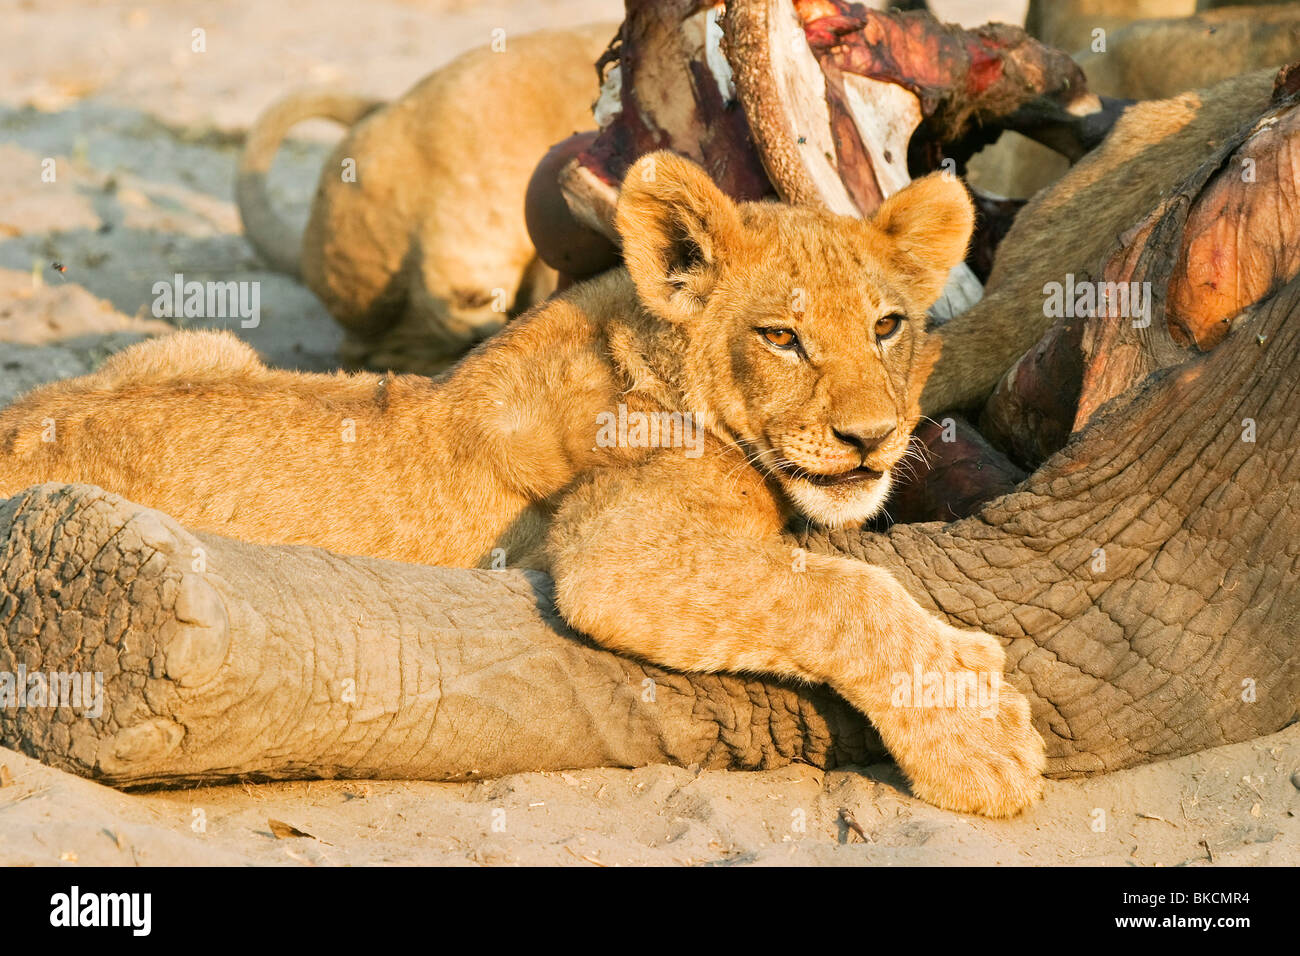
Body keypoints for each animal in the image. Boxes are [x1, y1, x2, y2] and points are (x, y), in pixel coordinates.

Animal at [0, 152, 1044, 817]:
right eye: (781, 337)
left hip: (202, 346)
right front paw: (982, 743)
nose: (872, 439)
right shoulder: (614, 554)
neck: (643, 358)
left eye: (886, 326)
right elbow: (844, 591)